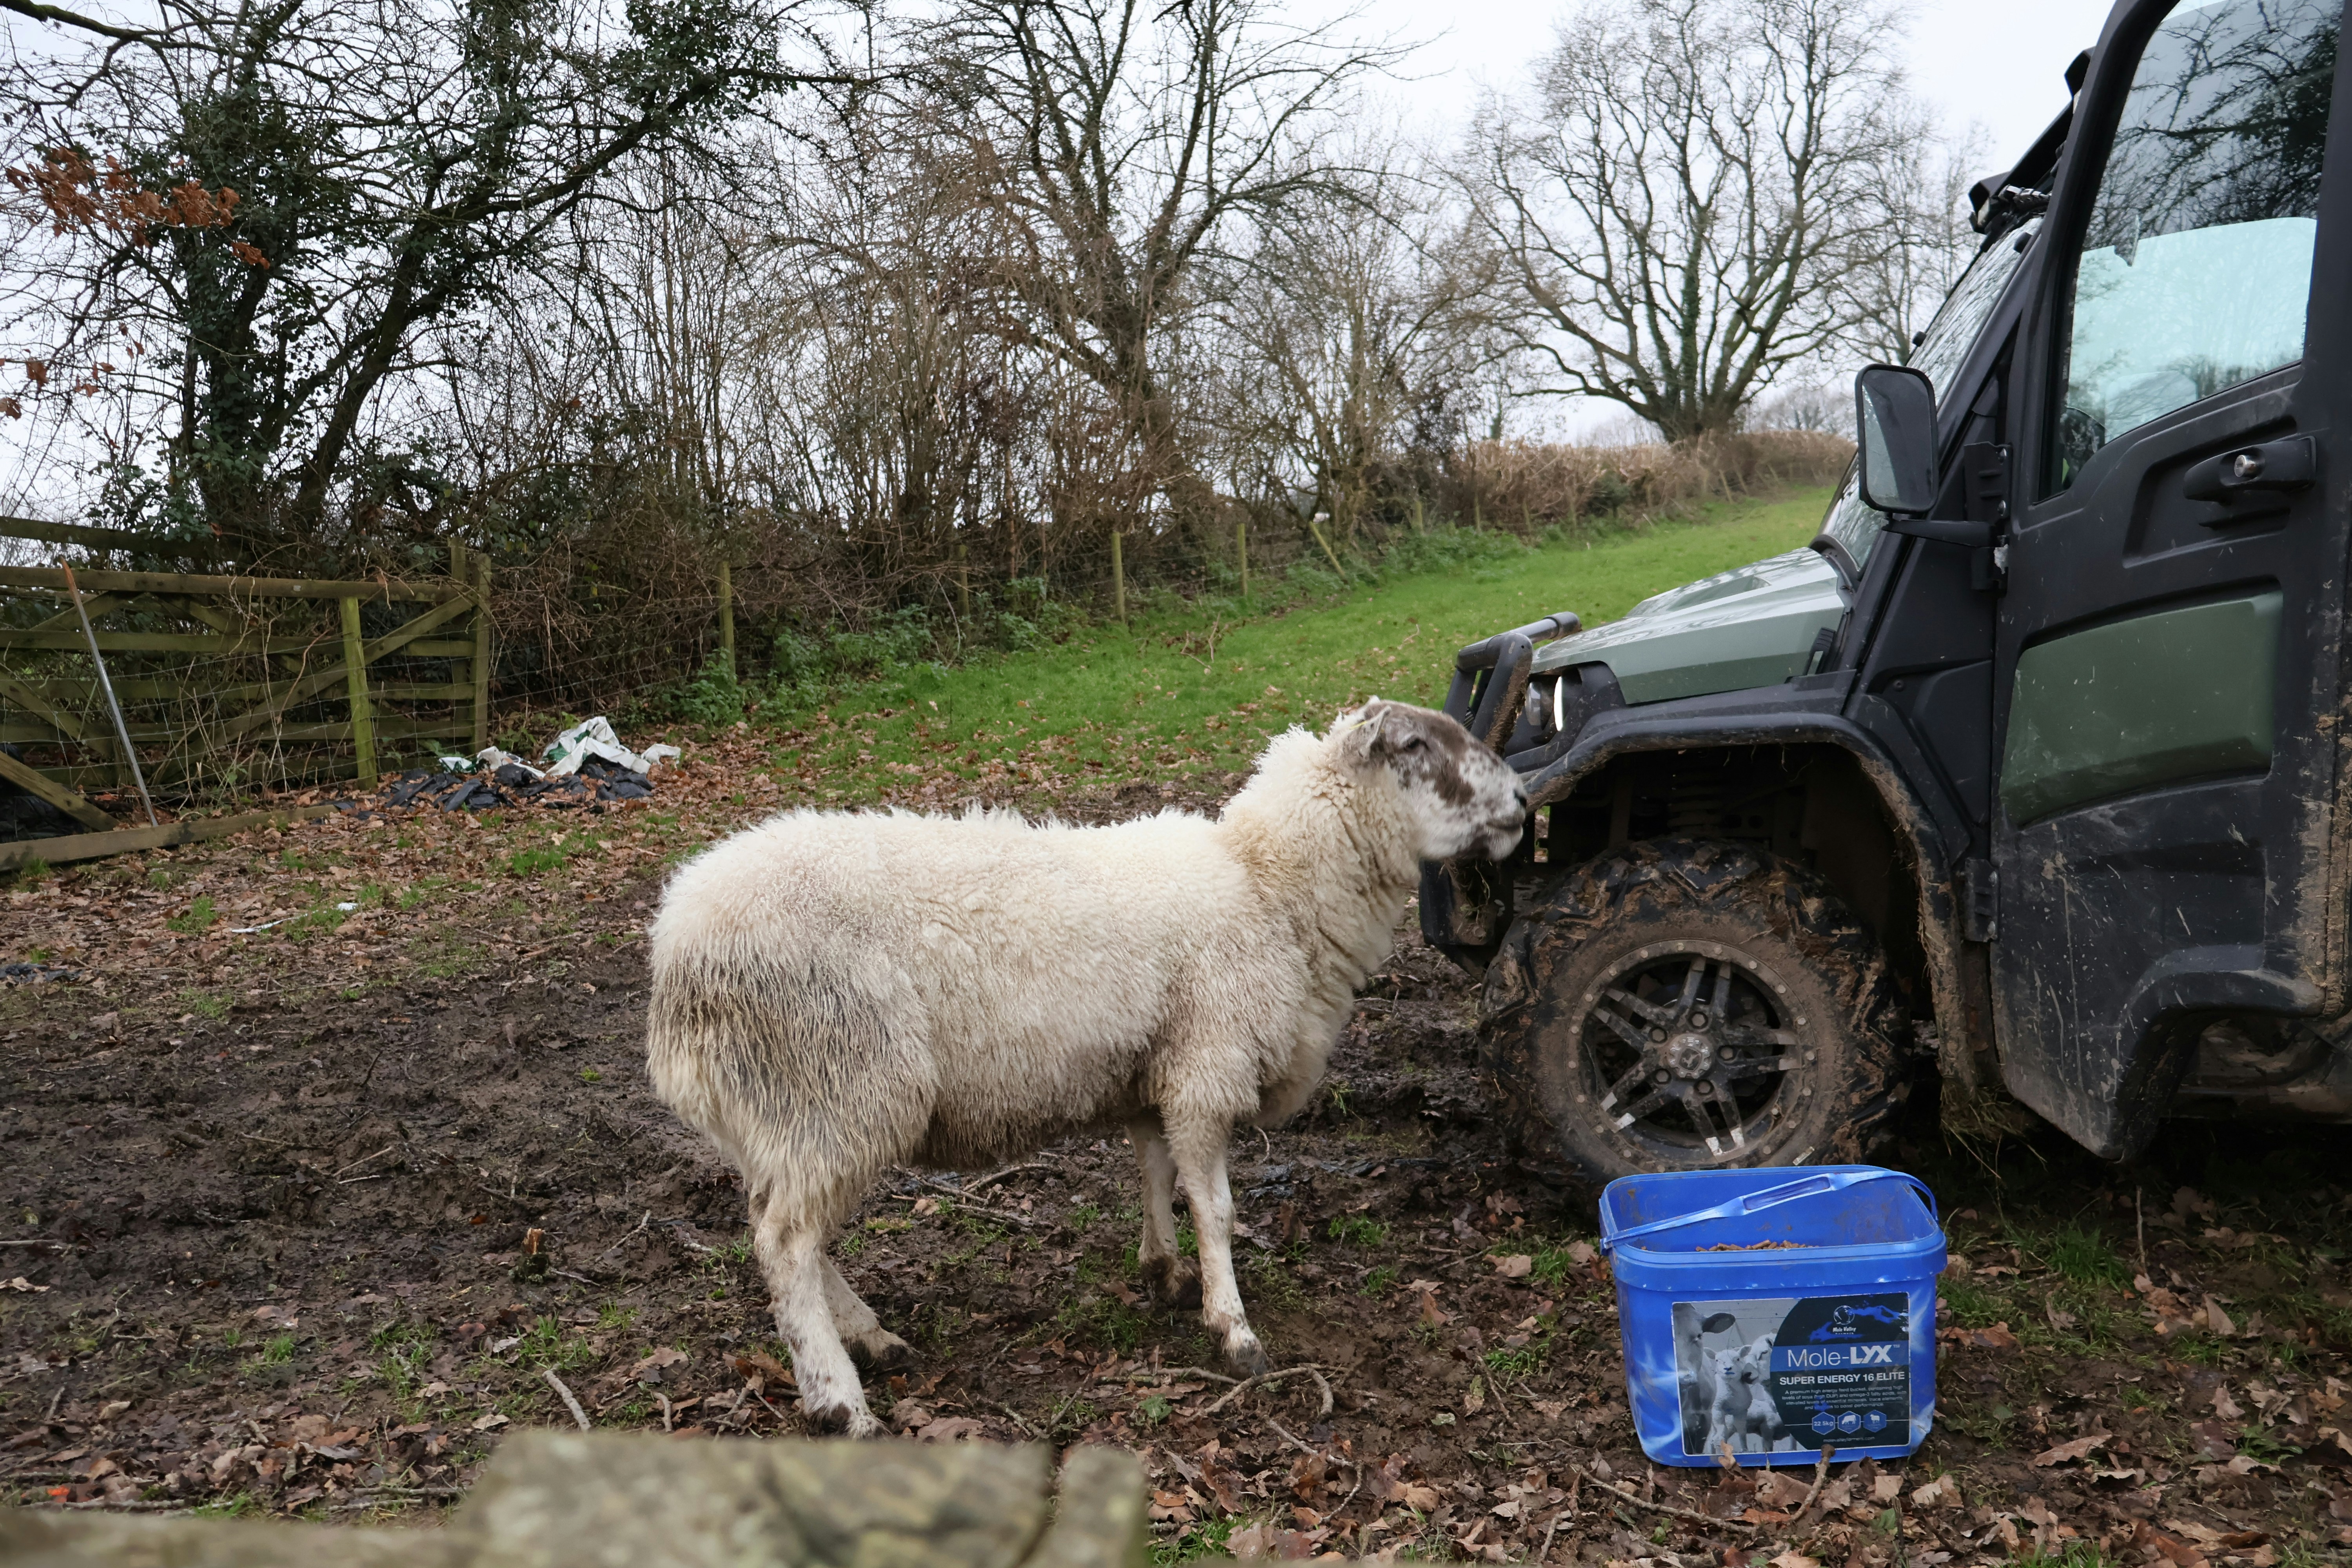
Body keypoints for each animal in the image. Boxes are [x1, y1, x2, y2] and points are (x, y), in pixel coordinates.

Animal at [645, 698, 1528, 1435]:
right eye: (1415, 747)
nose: (1523, 803)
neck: (1268, 883)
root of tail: (678, 947)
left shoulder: (1156, 1069)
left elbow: (1154, 1170)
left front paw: (1164, 1271)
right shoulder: (1207, 1064)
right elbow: (1216, 1207)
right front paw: (1234, 1329)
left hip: (778, 1114)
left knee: (784, 1229)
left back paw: (874, 1338)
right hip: (838, 1083)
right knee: (786, 1242)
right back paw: (839, 1400)